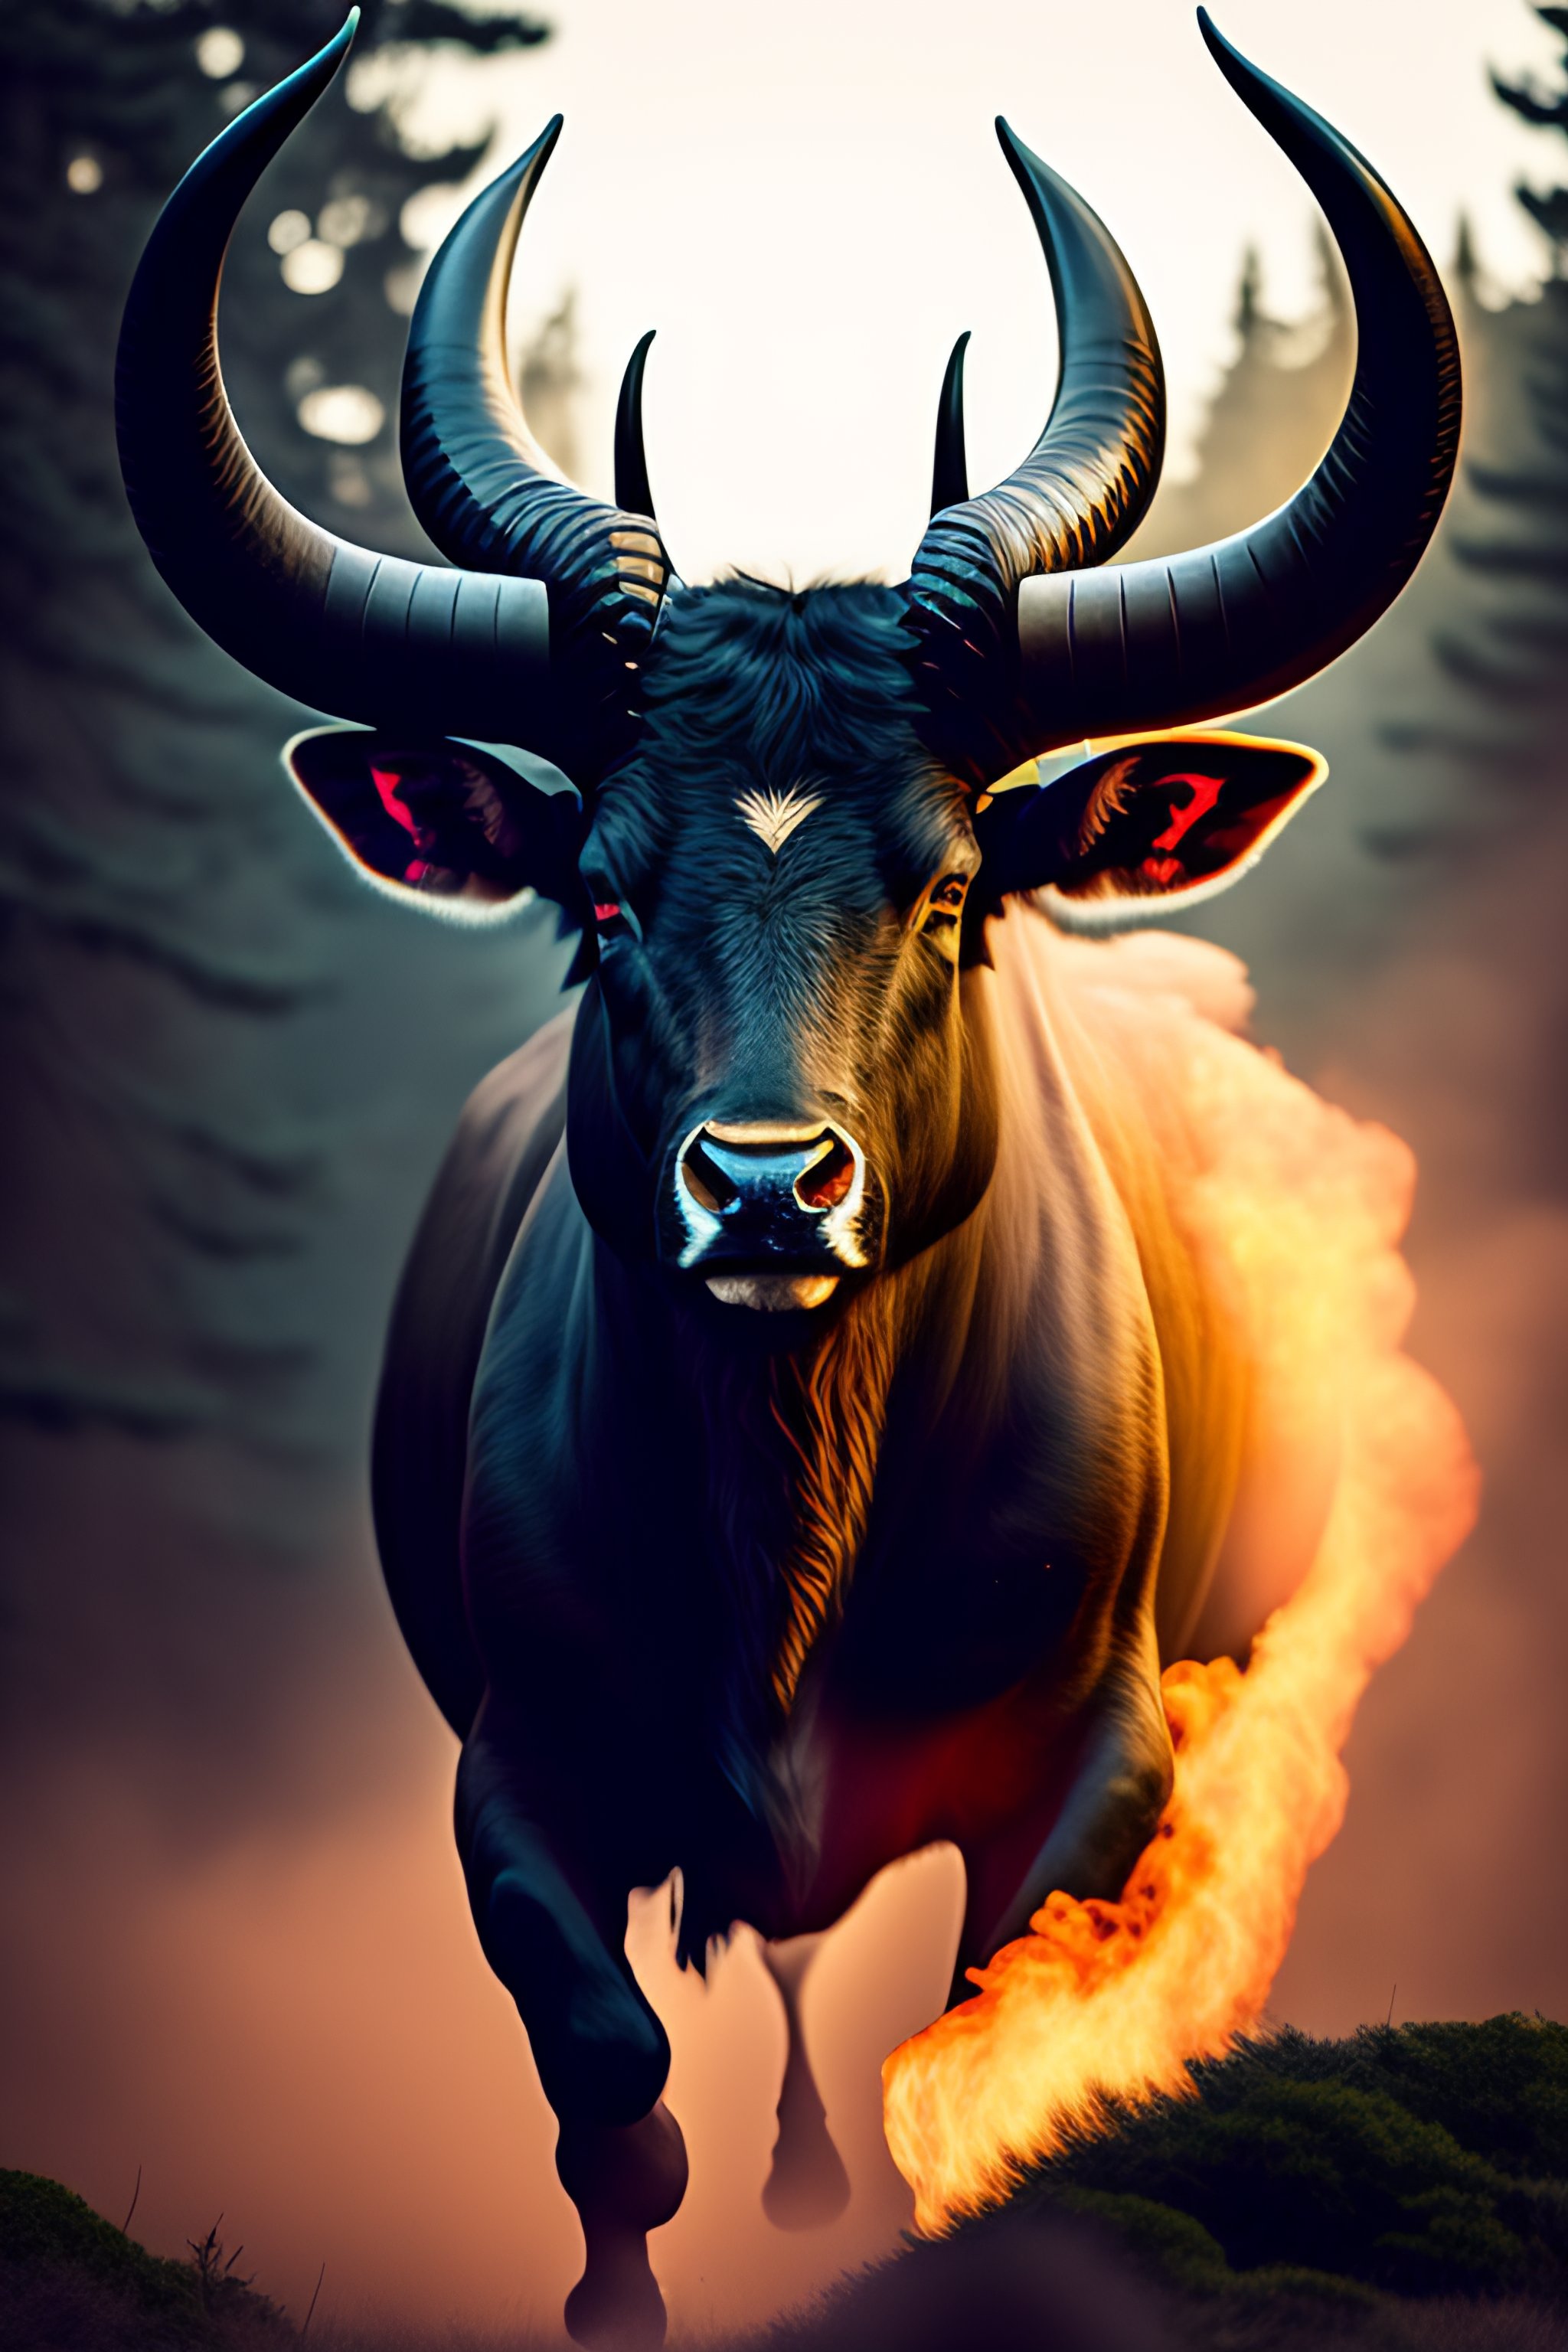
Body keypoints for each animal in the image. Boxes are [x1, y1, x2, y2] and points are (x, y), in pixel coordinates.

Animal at [115, 9, 1459, 2344]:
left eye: (949, 893)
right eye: (602, 896)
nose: (763, 1191)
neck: (790, 1540)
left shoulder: (1093, 1768)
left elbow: (988, 2061)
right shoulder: (517, 1775)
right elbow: (612, 2087)